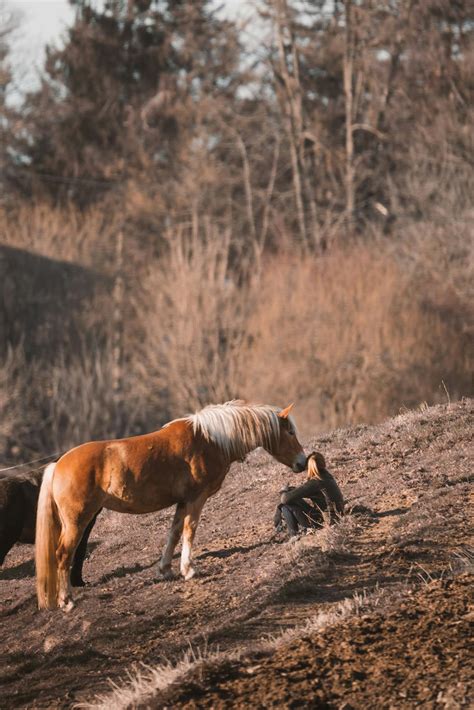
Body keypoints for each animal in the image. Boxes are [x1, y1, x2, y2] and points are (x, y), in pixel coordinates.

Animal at [35, 400, 306, 610]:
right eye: (290, 432)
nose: (303, 462)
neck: (210, 440)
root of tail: (58, 464)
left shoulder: (182, 502)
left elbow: (174, 533)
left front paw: (166, 569)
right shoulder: (196, 499)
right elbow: (189, 530)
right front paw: (188, 569)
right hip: (77, 522)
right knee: (63, 555)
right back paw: (67, 601)